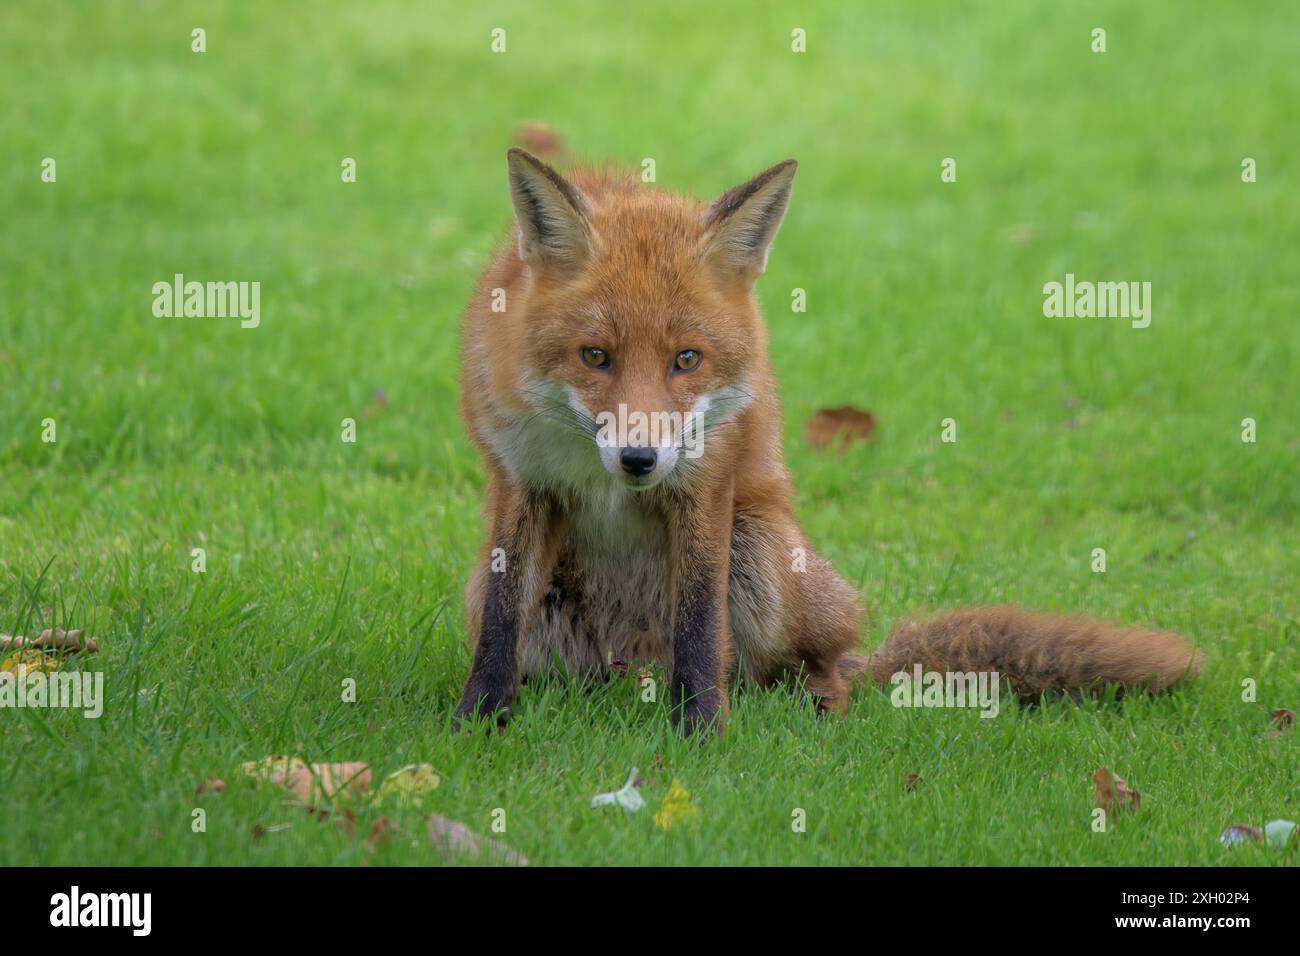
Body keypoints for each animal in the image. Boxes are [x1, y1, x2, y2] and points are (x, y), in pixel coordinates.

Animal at [455, 144, 1203, 736]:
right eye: (595, 356)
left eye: (687, 360)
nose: (639, 460)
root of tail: (632, 659)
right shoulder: (523, 483)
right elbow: (501, 627)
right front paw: (479, 723)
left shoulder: (704, 481)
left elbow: (698, 632)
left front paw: (699, 736)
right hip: (514, 596)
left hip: (759, 554)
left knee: (801, 667)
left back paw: (817, 705)